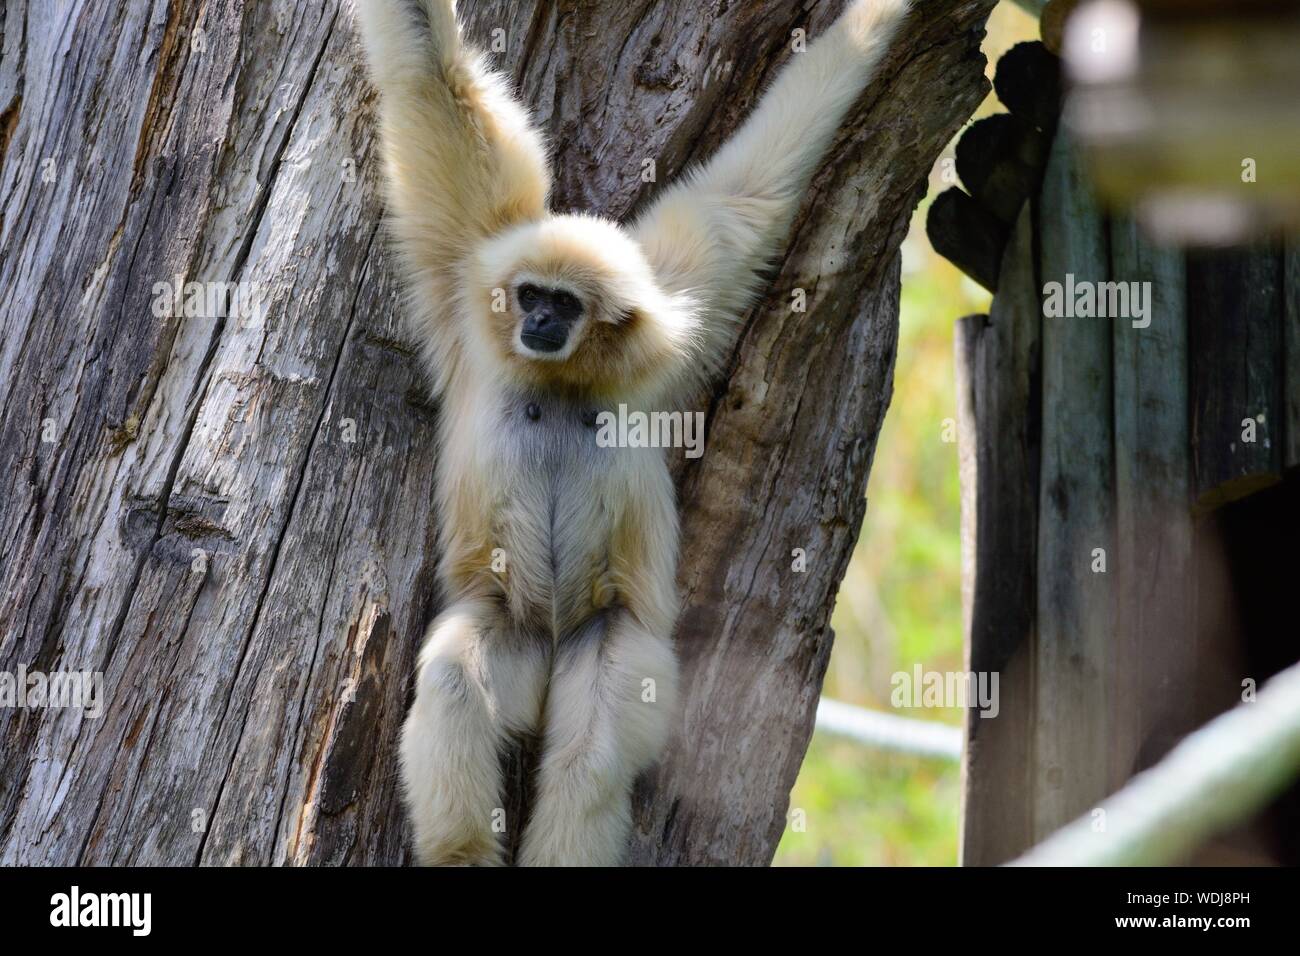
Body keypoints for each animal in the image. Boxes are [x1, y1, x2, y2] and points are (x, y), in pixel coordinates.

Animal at [355, 0, 910, 865]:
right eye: (530, 295)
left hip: (619, 636)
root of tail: (550, 650)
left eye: (566, 304)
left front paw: (880, 25)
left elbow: (742, 199)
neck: (565, 378)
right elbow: (426, 75)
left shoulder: (669, 326)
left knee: (593, 752)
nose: (541, 323)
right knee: (454, 681)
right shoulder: (471, 285)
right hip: (510, 624)